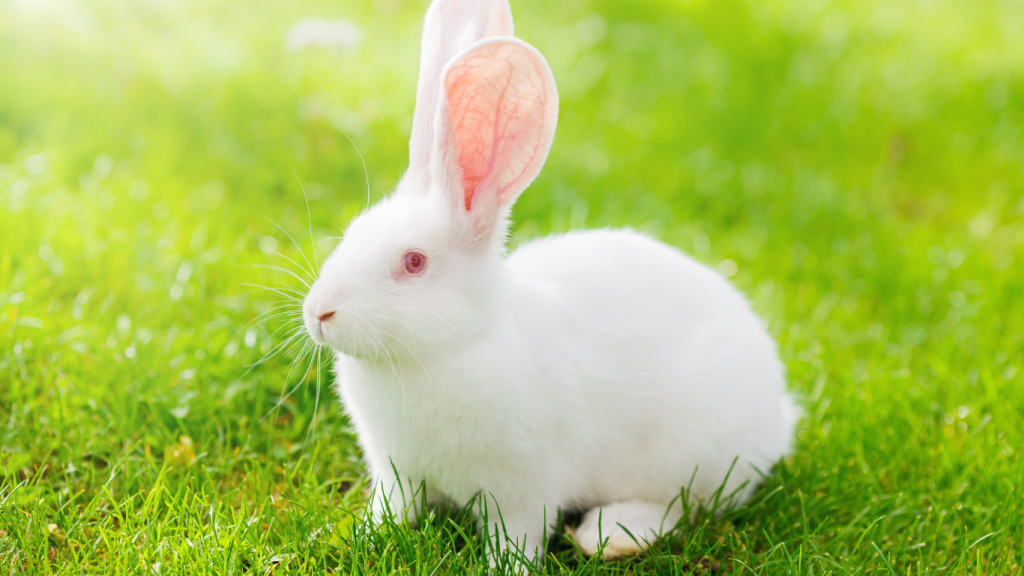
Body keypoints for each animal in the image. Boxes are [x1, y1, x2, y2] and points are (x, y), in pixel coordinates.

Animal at [302, 0, 798, 564]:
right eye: (351, 232)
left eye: (413, 262)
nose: (319, 314)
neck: (449, 349)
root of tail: (777, 417)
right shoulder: (397, 474)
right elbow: (391, 512)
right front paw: (351, 536)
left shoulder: (522, 491)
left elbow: (516, 538)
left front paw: (506, 569)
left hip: (692, 454)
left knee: (684, 506)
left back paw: (610, 534)